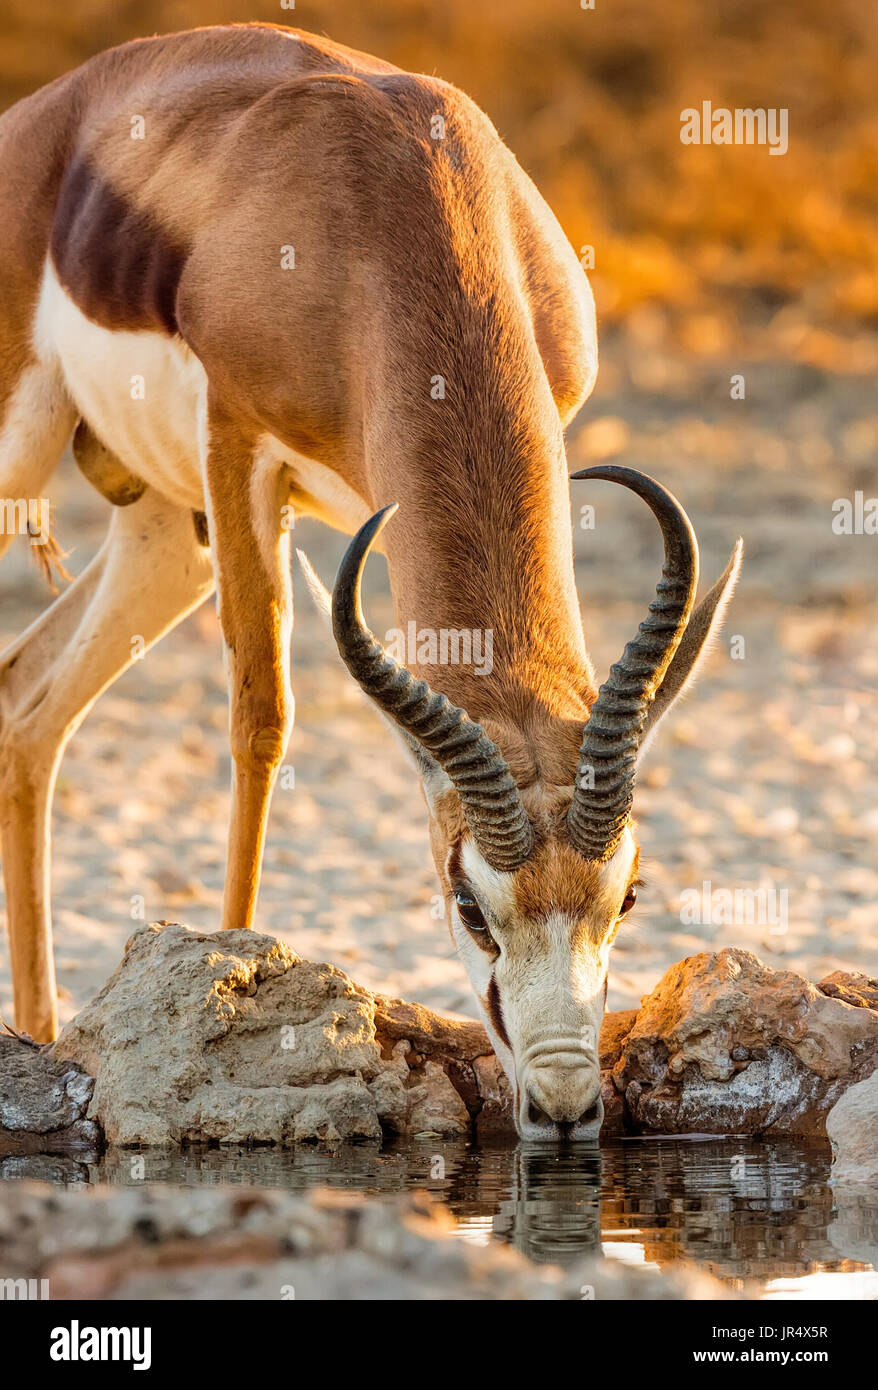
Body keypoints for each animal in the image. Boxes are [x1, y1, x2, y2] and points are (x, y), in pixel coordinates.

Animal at [0, 24, 741, 1138]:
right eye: (470, 903)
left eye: (628, 893)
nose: (564, 1102)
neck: (405, 200)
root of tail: (45, 114)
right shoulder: (237, 446)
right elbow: (259, 721)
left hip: (167, 531)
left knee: (27, 701)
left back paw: (42, 1033)